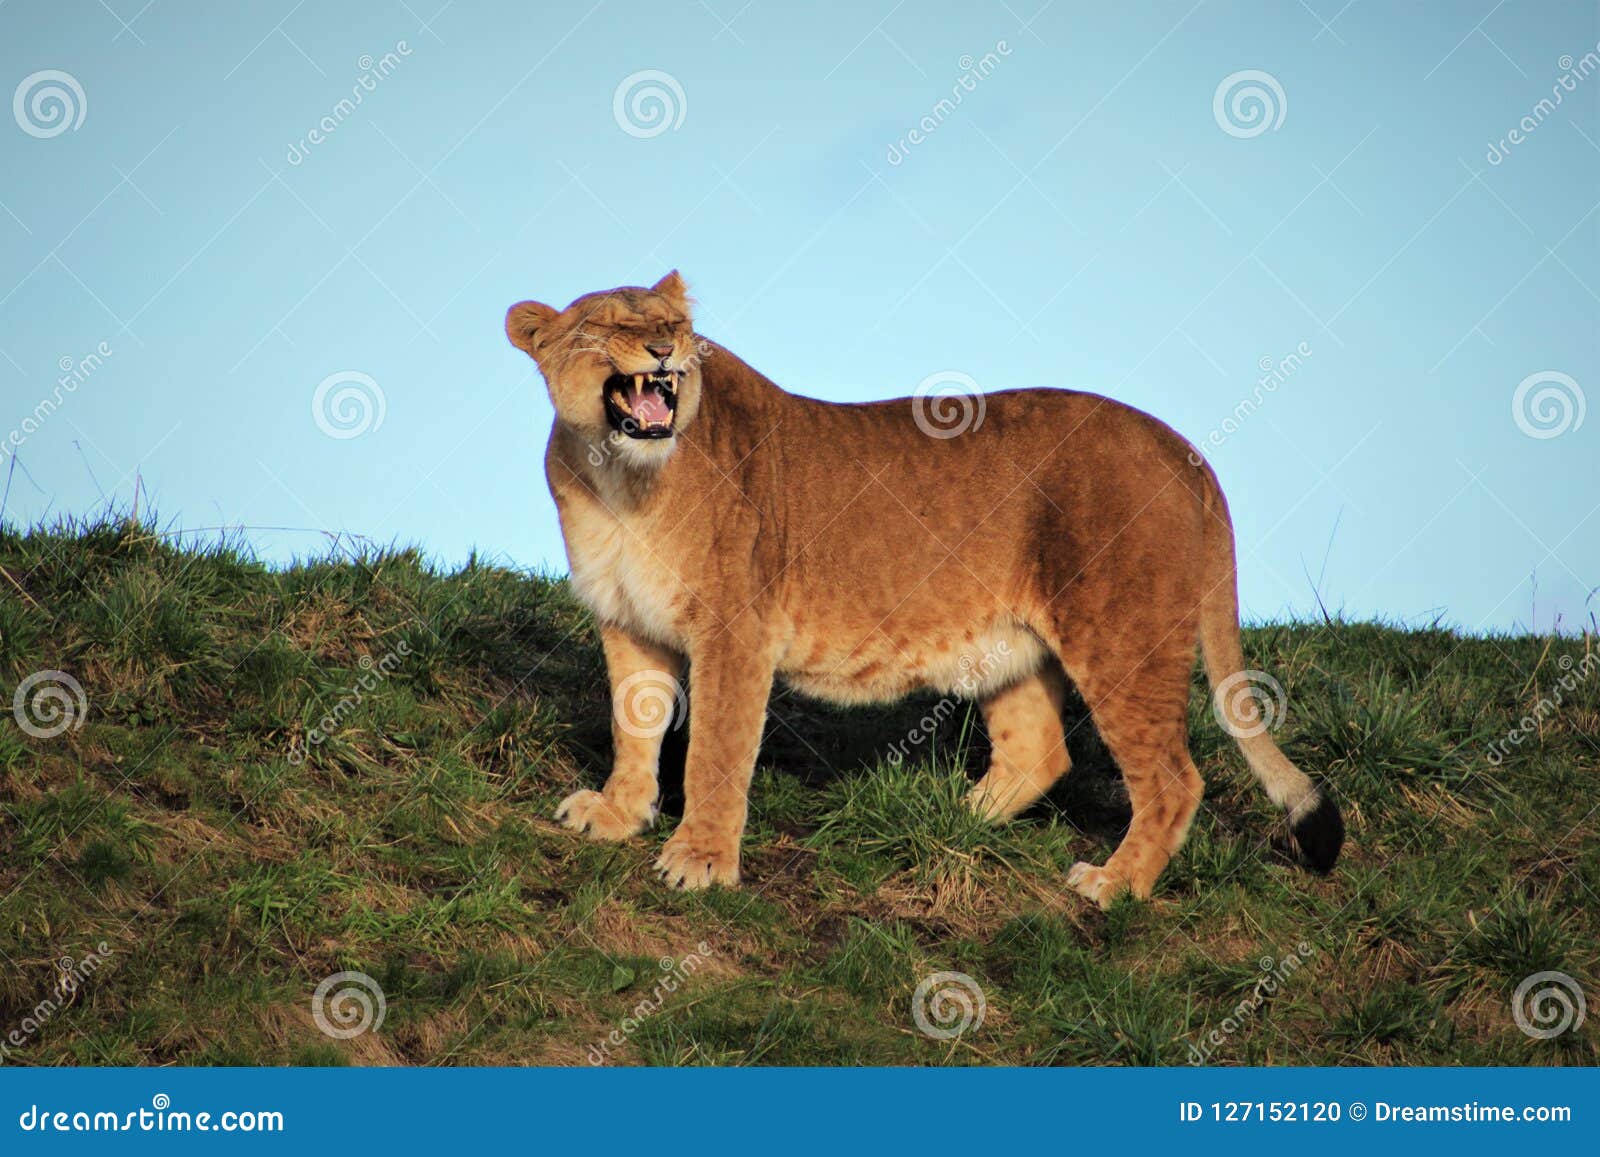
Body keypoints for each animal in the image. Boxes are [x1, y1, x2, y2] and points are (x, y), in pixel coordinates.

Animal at [505, 272, 1343, 906]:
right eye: (609, 322)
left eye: (676, 321)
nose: (666, 348)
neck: (619, 480)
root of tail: (1182, 446)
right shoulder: (628, 623)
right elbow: (635, 723)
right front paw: (617, 812)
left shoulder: (736, 629)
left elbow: (715, 746)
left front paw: (701, 860)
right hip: (1014, 642)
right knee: (1041, 752)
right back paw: (951, 815)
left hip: (1122, 634)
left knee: (1172, 778)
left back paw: (1113, 883)